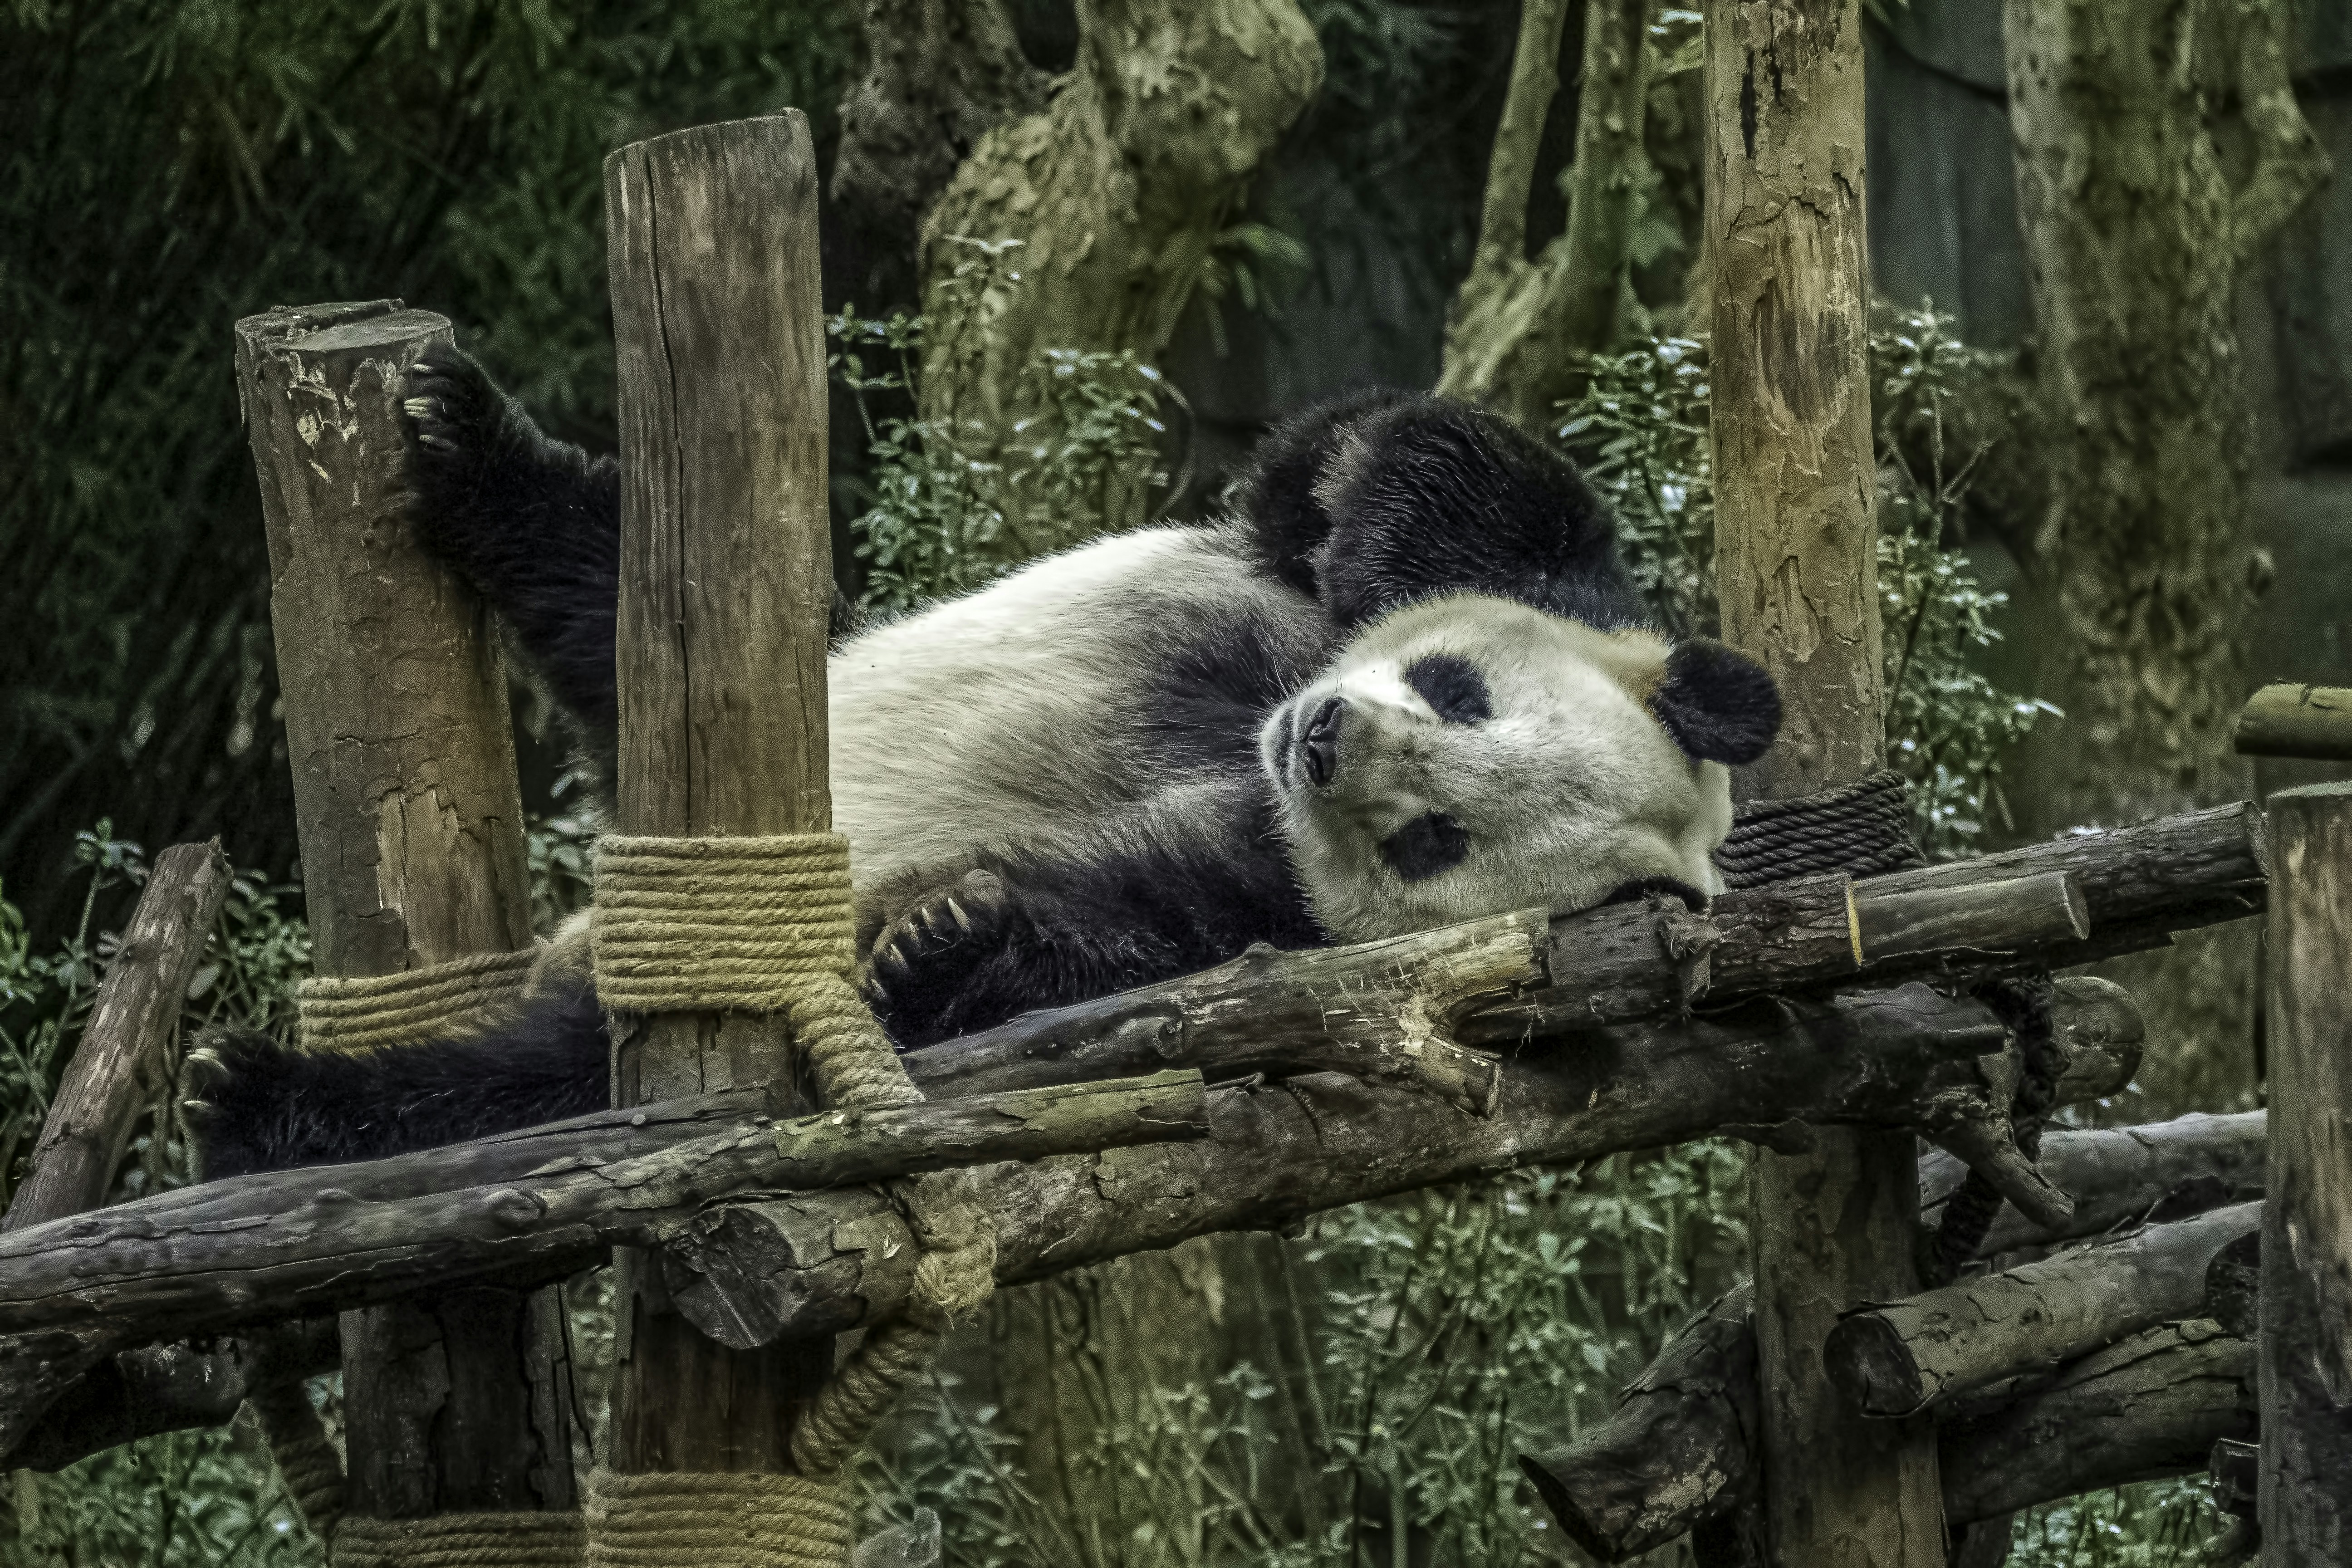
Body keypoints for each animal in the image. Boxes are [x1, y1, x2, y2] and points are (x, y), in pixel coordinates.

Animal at [188, 356, 1779, 1179]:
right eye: (1456, 691)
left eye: (1434, 840)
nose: (1326, 742)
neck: (1246, 758)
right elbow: (1401, 465)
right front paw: (1365, 543)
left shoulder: (1264, 913)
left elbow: (1107, 956)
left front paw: (941, 935)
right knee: (621, 596)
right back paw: (460, 437)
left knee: (529, 1080)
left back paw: (258, 1102)